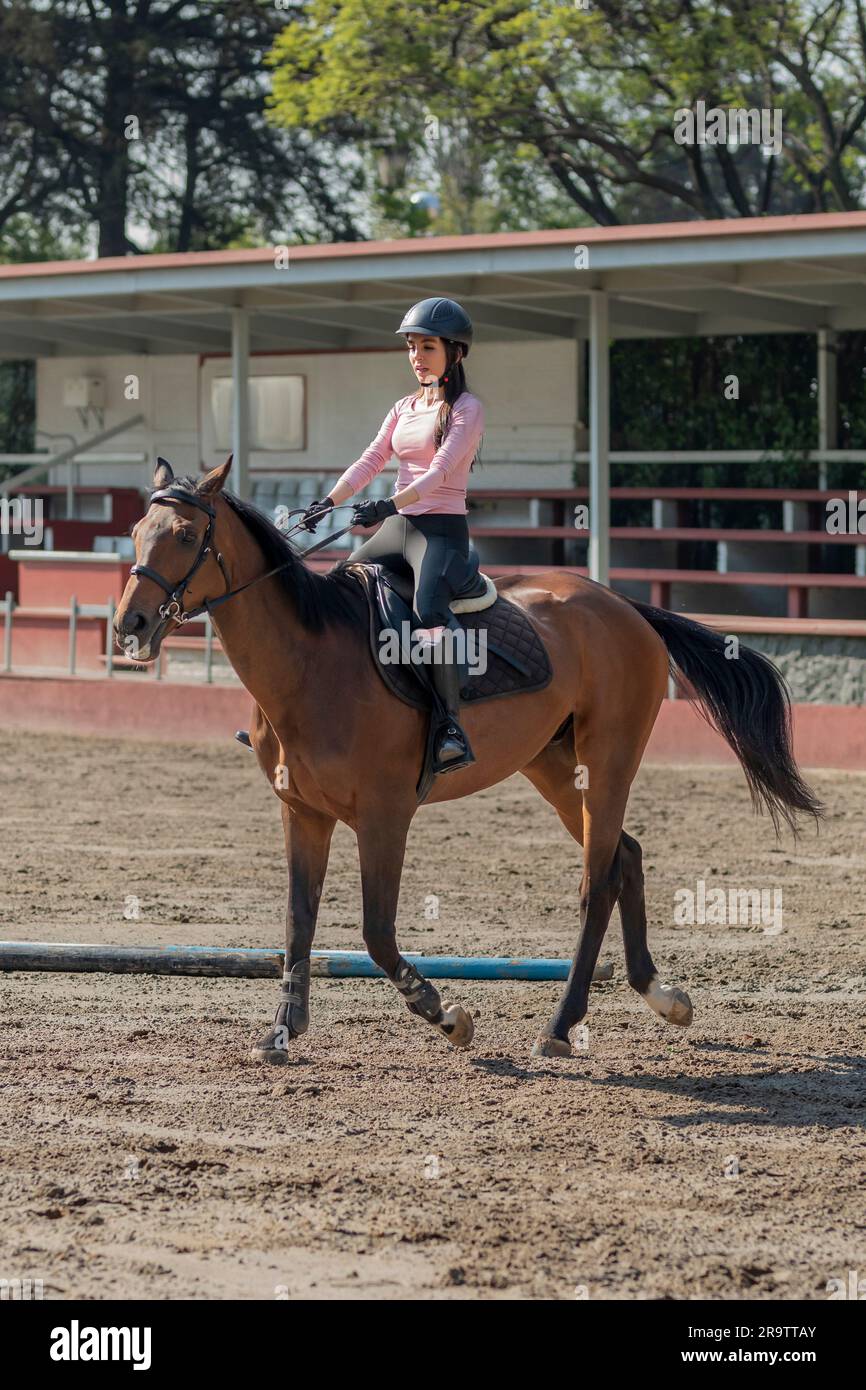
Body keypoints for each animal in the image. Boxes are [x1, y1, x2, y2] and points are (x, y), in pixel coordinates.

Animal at [114, 457, 822, 1062]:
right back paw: (661, 995)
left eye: (184, 534)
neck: (310, 664)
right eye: (136, 531)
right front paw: (283, 1030)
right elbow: (297, 921)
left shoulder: (384, 816)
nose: (129, 626)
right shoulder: (302, 813)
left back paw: (560, 1026)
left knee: (597, 883)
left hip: (607, 763)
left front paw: (446, 1015)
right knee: (626, 855)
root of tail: (627, 607)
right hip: (554, 768)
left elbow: (375, 931)